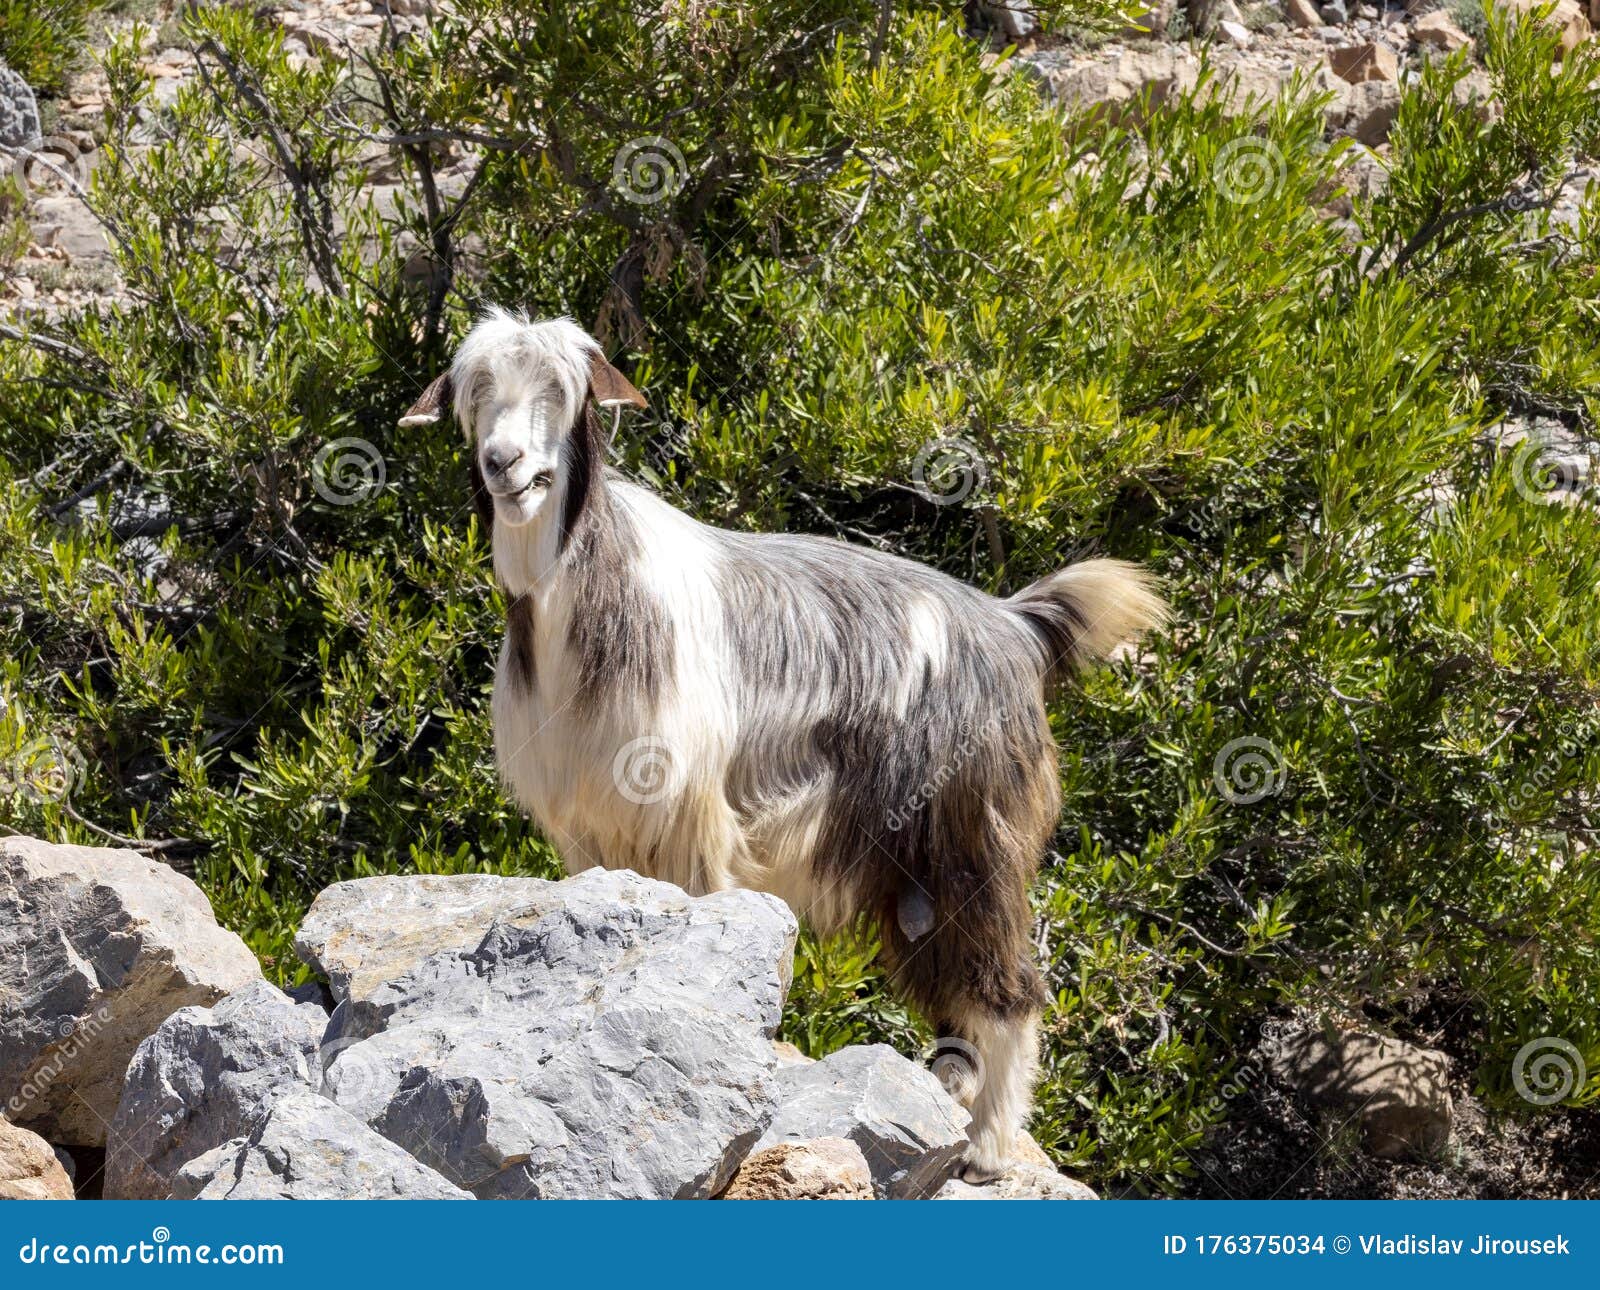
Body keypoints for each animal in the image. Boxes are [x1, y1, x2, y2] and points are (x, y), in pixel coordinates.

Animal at [400, 309, 1168, 1180]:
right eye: (474, 394)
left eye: (563, 390)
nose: (504, 463)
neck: (590, 602)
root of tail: (1015, 628)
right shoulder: (587, 833)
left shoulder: (690, 825)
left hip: (976, 836)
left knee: (1009, 988)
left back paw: (986, 1151)